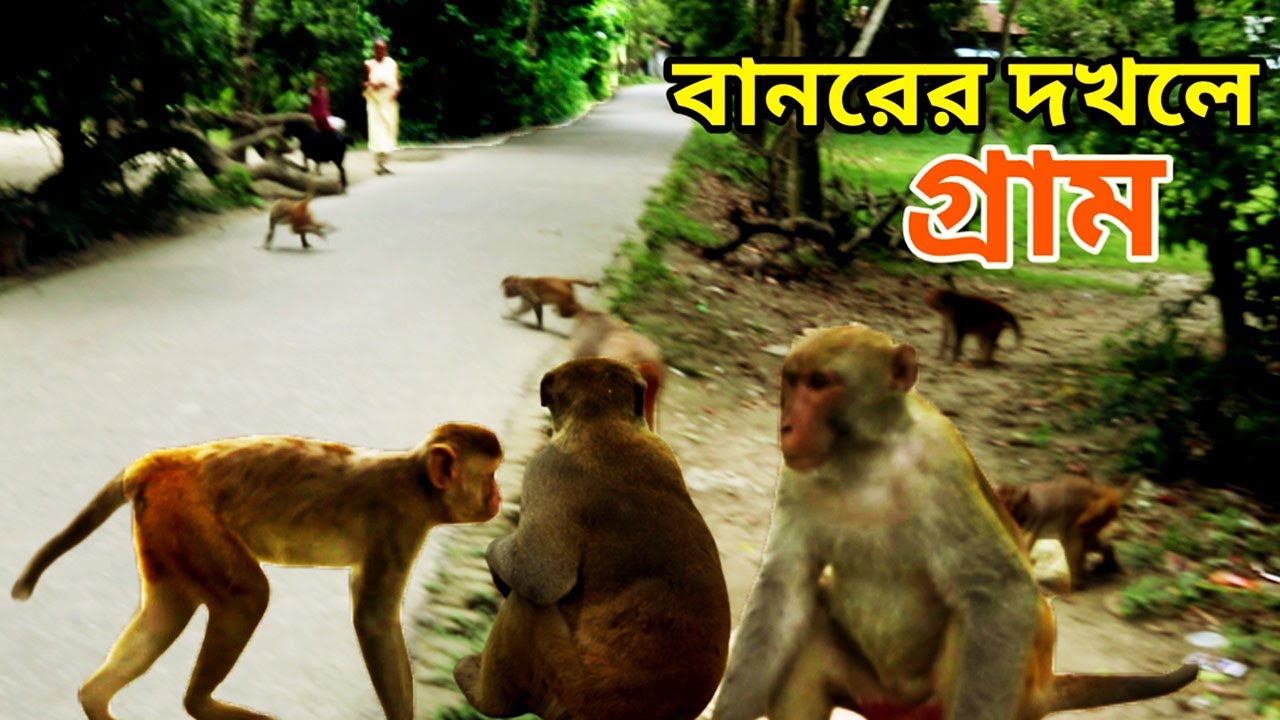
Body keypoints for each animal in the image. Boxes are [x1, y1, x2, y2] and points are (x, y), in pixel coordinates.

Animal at [11, 423, 503, 720]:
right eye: (490, 476)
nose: (499, 497)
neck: (416, 481)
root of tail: (160, 462)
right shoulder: (400, 524)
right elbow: (374, 620)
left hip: (163, 528)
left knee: (167, 610)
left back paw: (96, 696)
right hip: (187, 516)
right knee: (247, 597)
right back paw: (199, 702)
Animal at [453, 358, 731, 720]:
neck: (605, 424)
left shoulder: (545, 467)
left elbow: (540, 579)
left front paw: (494, 553)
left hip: (566, 685)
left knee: (528, 603)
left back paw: (486, 699)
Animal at [994, 474, 1138, 591]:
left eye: (1011, 505)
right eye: (1002, 501)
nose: (1005, 510)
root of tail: (1106, 490)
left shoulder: (1037, 516)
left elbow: (1025, 544)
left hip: (1100, 509)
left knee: (1073, 536)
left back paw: (1077, 584)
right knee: (1087, 541)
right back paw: (1106, 562)